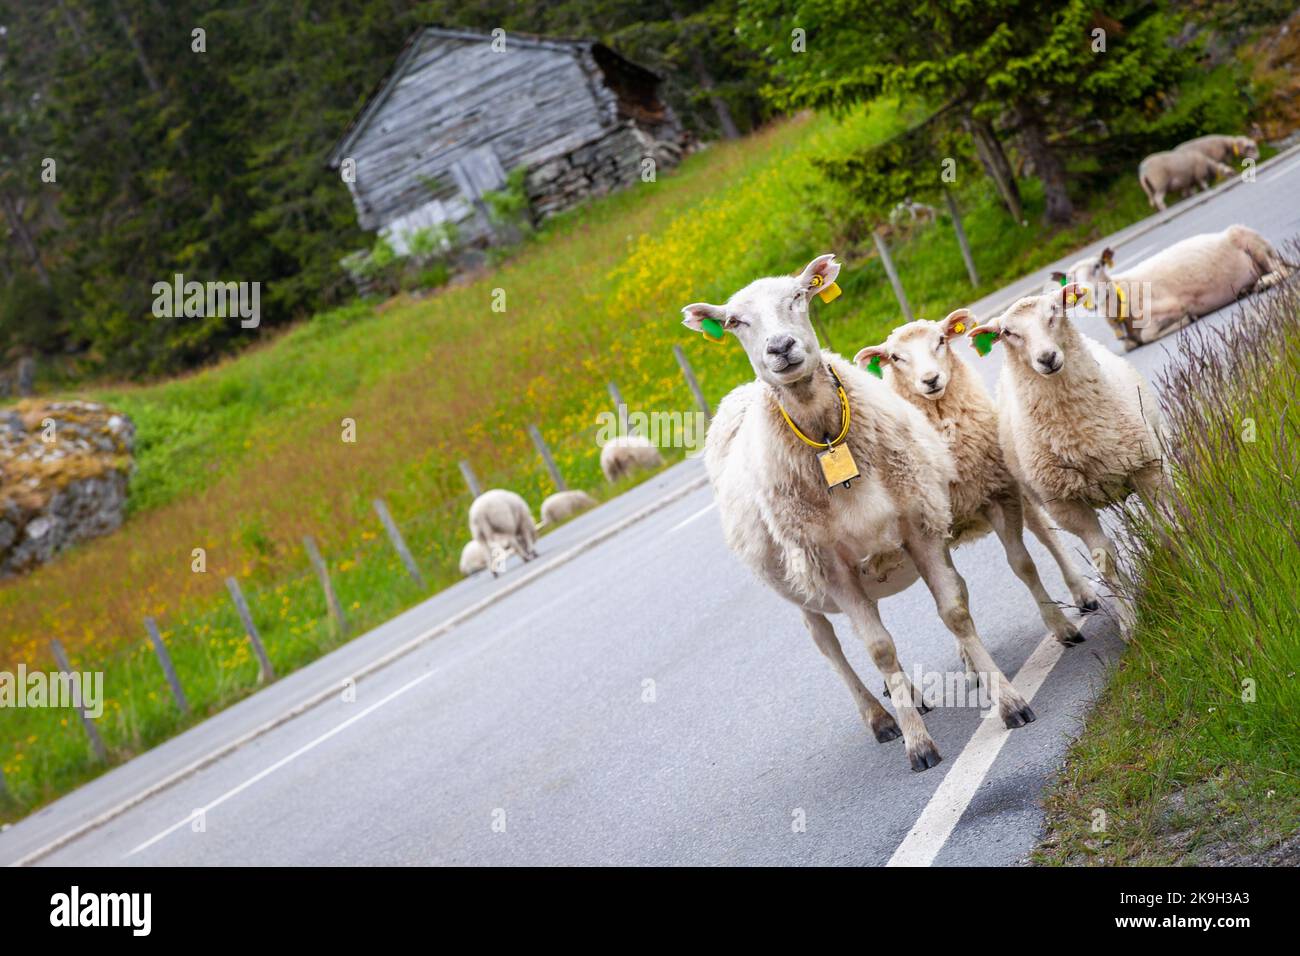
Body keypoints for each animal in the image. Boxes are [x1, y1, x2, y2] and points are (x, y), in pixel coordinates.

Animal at [681, 253, 1037, 774]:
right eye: (734, 322)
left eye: (799, 296)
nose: (780, 347)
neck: (827, 438)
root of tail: (740, 393)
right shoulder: (832, 567)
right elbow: (877, 648)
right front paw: (917, 744)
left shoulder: (917, 527)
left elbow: (955, 612)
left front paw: (1009, 701)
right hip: (802, 585)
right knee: (828, 643)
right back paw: (880, 716)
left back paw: (910, 696)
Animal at [853, 312, 1099, 646]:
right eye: (895, 357)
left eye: (941, 340)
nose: (930, 380)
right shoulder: (934, 527)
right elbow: (956, 590)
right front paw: (969, 653)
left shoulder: (997, 495)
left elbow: (1023, 564)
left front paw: (1060, 625)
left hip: (1018, 490)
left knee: (1048, 536)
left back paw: (1082, 592)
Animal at [965, 284, 1171, 632]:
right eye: (1008, 332)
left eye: (1054, 311)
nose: (1046, 358)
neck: (1078, 434)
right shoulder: (1066, 504)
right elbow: (1104, 558)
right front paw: (1129, 621)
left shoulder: (1146, 469)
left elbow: (1165, 527)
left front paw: (1191, 568)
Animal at [1061, 226, 1291, 349]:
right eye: (1070, 277)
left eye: (1097, 266)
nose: (1087, 296)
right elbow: (1133, 342)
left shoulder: (1170, 307)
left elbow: (1148, 335)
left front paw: (1188, 319)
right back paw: (1246, 289)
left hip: (1252, 242)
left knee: (1283, 269)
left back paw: (1264, 283)